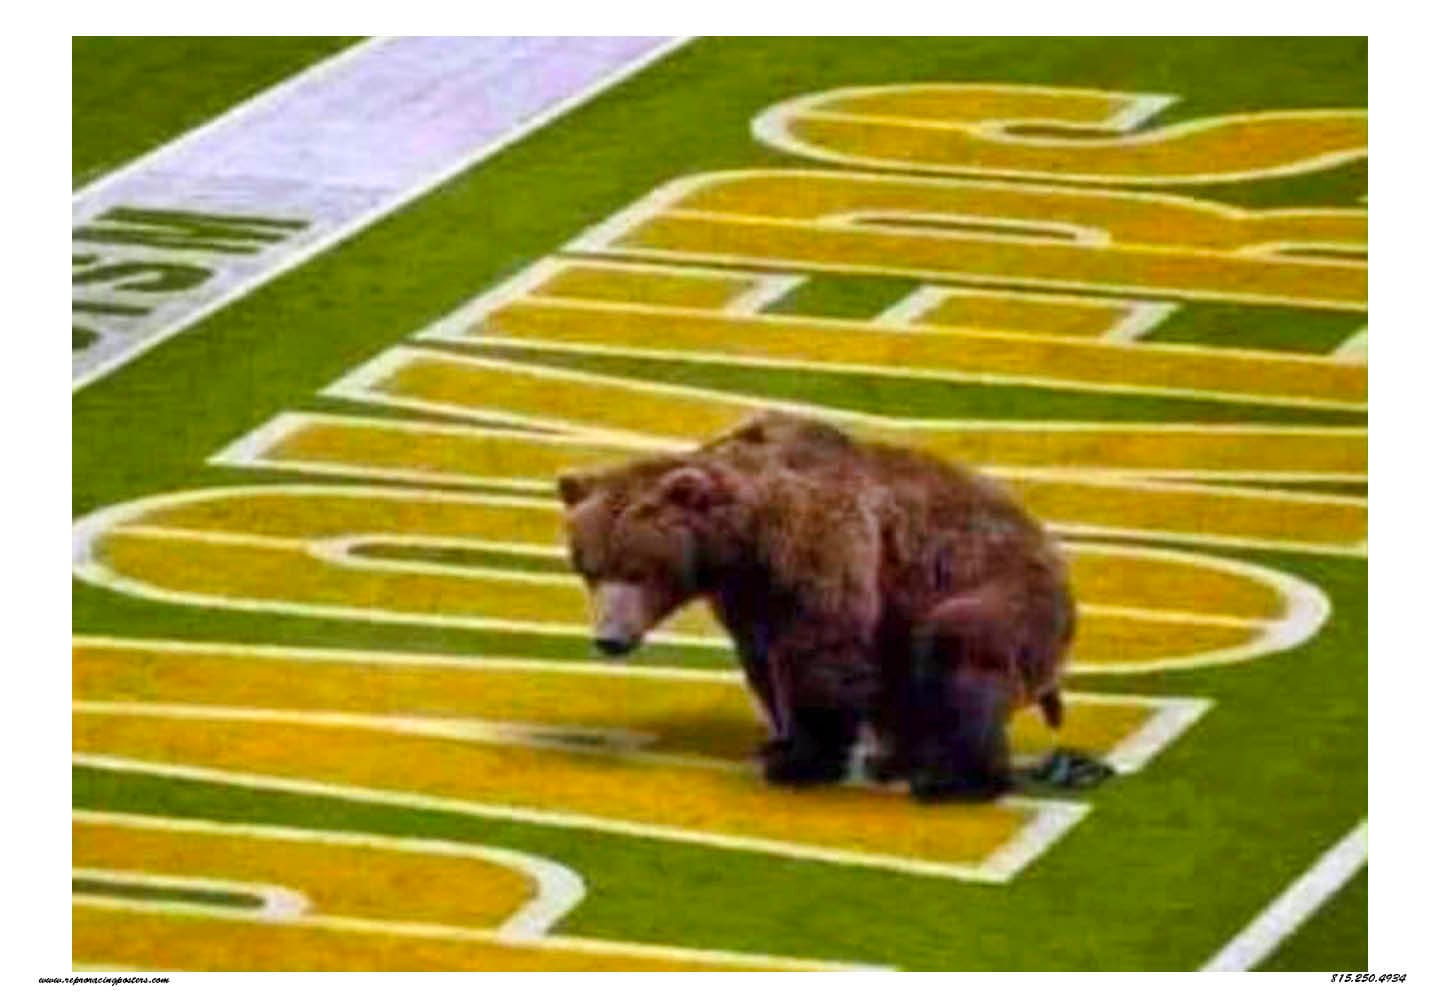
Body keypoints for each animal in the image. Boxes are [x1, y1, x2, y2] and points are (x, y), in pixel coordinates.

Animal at [557, 412, 1075, 801]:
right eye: (589, 569)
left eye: (638, 569)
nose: (610, 639)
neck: (739, 541)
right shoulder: (748, 593)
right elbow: (762, 658)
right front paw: (779, 740)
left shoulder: (817, 541)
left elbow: (821, 648)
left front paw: (802, 761)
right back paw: (898, 758)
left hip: (998, 591)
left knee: (961, 647)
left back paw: (953, 779)